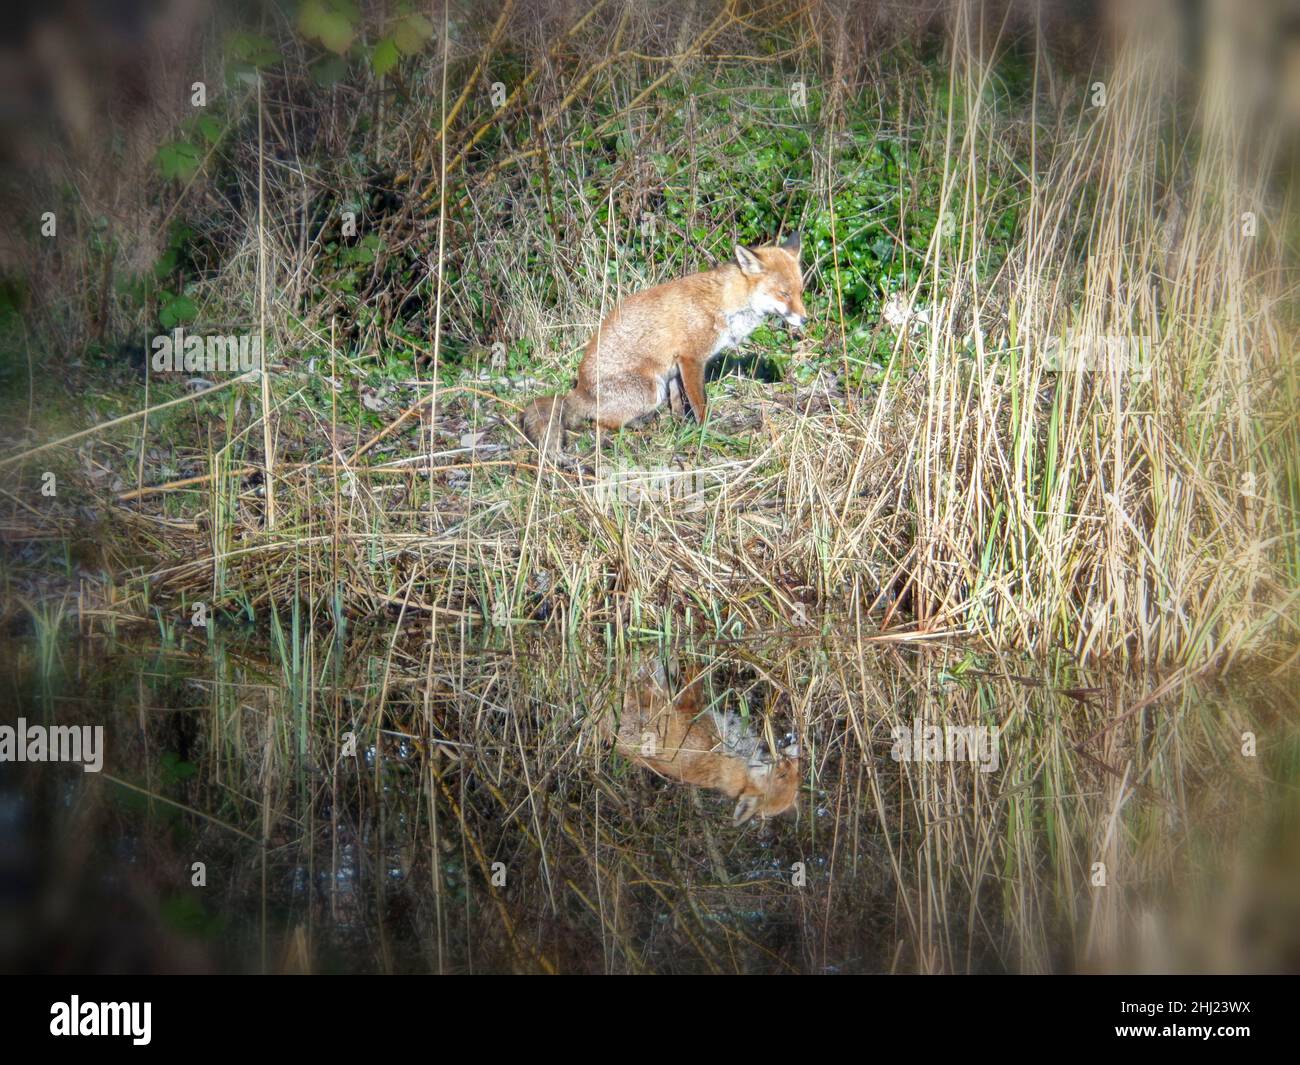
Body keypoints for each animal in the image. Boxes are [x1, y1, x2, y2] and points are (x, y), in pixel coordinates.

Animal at [521, 232, 807, 454]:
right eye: (783, 294)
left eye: (800, 292)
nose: (805, 319)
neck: (725, 303)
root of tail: (579, 391)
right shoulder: (691, 359)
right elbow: (700, 402)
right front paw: (707, 431)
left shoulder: (675, 368)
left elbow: (679, 402)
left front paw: (680, 425)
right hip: (650, 390)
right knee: (599, 423)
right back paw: (636, 424)